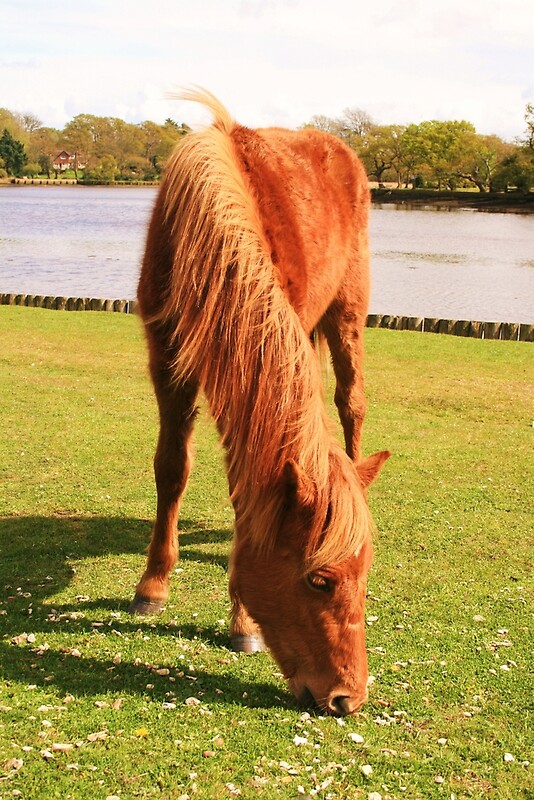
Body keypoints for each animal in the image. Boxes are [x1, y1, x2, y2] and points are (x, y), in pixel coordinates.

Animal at [131, 88, 390, 716]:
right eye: (319, 579)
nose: (348, 698)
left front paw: (242, 623)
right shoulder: (167, 361)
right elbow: (171, 468)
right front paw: (152, 587)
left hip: (347, 312)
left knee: (350, 404)